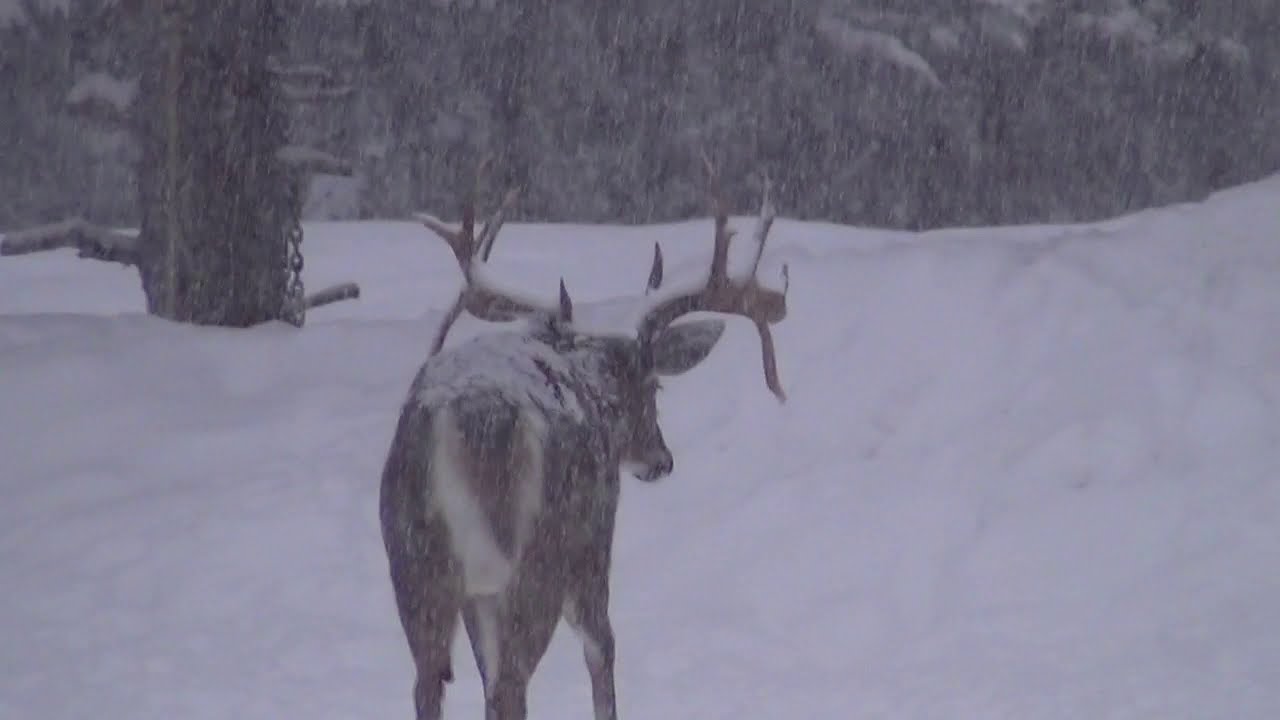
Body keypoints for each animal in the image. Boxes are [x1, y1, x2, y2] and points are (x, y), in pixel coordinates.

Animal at [378, 161, 789, 720]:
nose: (662, 460)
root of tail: (471, 420)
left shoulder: (475, 594)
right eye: (654, 387)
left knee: (430, 681)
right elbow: (603, 649)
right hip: (542, 553)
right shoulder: (595, 544)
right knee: (511, 683)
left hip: (414, 561)